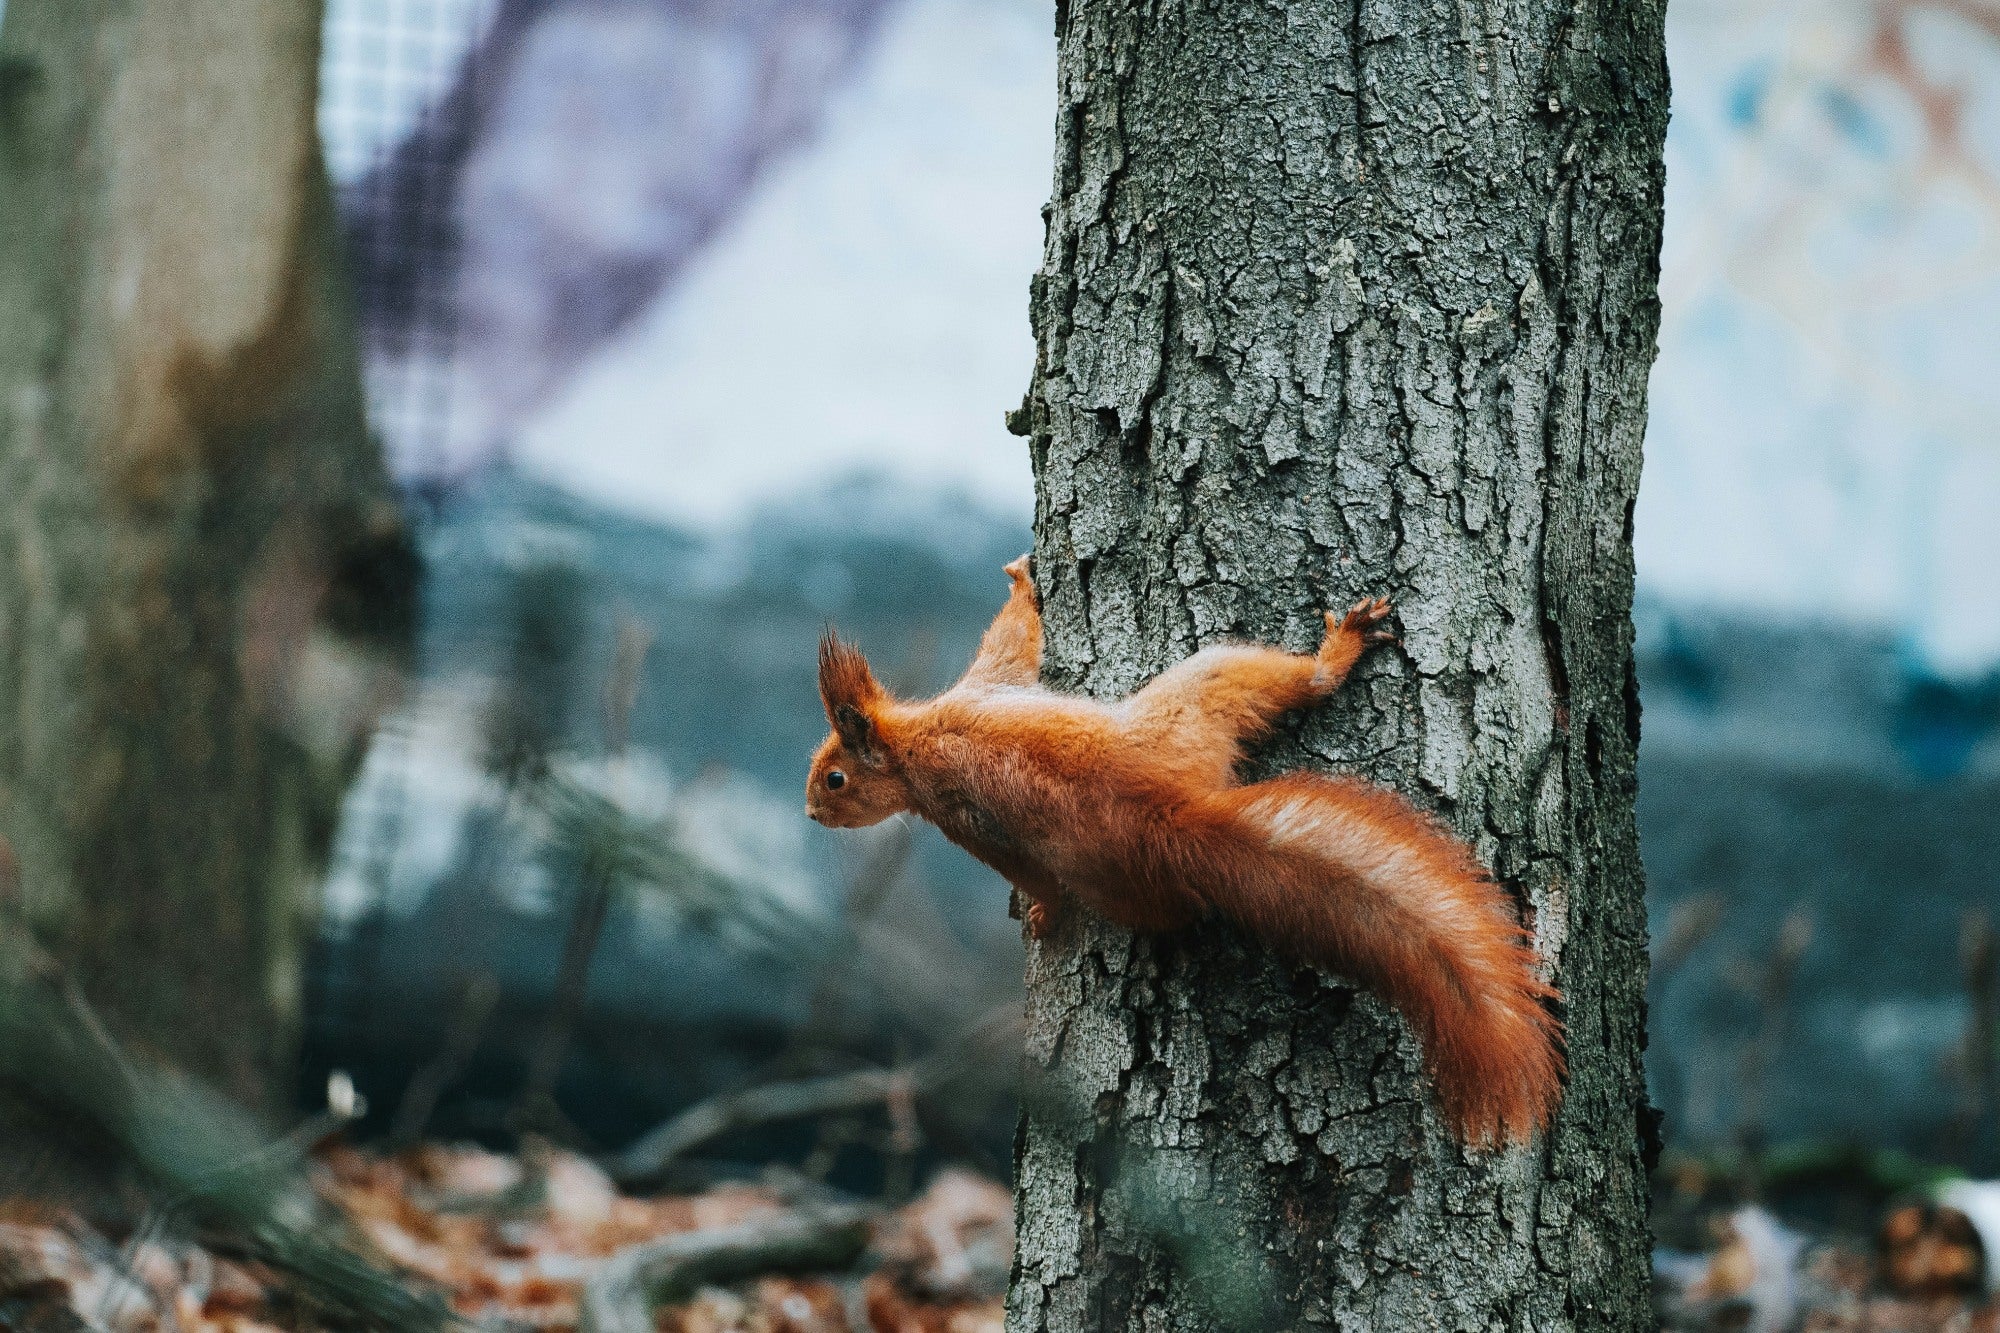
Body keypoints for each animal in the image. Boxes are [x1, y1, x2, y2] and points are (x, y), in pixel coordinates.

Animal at [805, 556, 1564, 1145]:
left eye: (833, 777)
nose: (812, 811)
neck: (913, 749)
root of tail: (1169, 818)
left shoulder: (978, 732)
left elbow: (1015, 640)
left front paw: (1021, 580)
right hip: (1198, 703)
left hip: (1188, 709)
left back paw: (1335, 654)